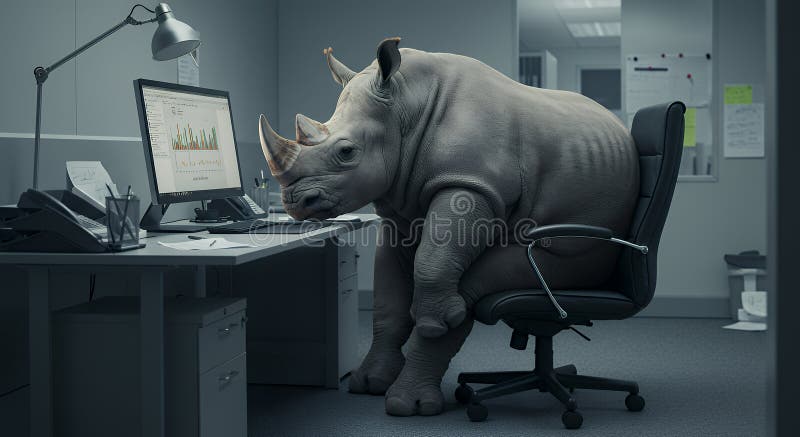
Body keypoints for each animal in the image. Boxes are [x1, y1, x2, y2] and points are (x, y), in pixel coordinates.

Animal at [258, 38, 638, 416]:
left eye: (347, 151)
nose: (295, 202)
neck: (405, 105)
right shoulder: (399, 206)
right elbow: (389, 298)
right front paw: (368, 383)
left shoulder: (473, 183)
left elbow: (433, 264)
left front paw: (432, 325)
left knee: (473, 287)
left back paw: (411, 400)